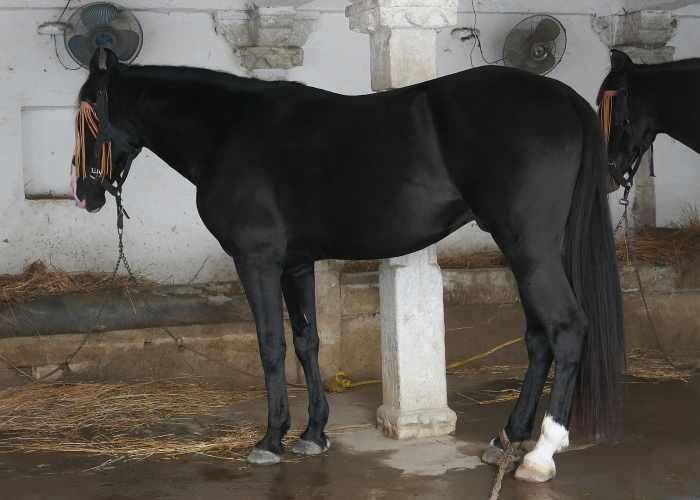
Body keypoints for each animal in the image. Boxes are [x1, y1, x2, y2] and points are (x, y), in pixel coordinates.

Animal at [71, 48, 623, 482]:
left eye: (87, 115)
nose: (84, 195)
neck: (231, 131)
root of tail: (564, 98)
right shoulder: (296, 265)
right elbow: (307, 343)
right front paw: (314, 433)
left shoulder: (258, 261)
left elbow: (271, 346)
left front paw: (270, 440)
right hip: (529, 254)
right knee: (538, 338)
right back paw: (506, 439)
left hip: (529, 249)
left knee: (566, 329)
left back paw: (541, 455)